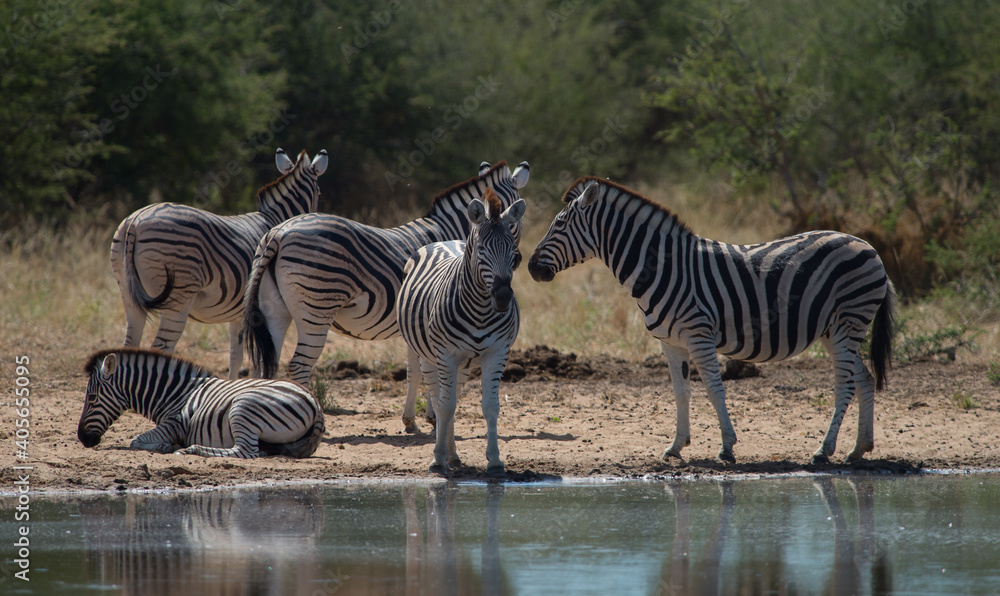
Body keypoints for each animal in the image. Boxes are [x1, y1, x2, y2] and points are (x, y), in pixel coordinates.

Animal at [78, 347, 325, 458]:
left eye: (92, 398)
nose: (82, 439)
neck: (173, 394)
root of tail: (315, 402)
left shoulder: (174, 424)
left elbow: (135, 440)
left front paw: (166, 446)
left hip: (243, 407)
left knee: (245, 451)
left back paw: (192, 449)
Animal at [110, 148, 328, 380]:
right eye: (319, 193)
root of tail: (136, 222)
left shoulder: (238, 315)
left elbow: (236, 357)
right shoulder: (257, 314)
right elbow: (258, 359)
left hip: (128, 293)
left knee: (129, 343)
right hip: (178, 296)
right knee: (161, 347)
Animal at [241, 160, 530, 399]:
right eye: (515, 219)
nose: (519, 261)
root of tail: (279, 232)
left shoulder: (417, 323)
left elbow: (416, 371)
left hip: (274, 310)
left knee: (266, 362)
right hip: (317, 305)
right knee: (299, 365)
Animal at [397, 188, 526, 475]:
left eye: (513, 251)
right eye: (481, 249)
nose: (502, 297)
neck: (480, 310)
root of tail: (444, 241)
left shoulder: (496, 353)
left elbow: (490, 406)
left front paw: (495, 460)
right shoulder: (446, 354)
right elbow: (444, 406)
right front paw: (437, 459)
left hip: (464, 365)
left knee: (453, 399)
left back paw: (454, 456)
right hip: (423, 352)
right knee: (435, 393)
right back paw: (444, 451)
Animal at [527, 178, 895, 464]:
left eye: (559, 224)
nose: (530, 268)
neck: (664, 268)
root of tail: (868, 246)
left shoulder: (699, 335)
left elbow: (714, 389)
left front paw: (727, 447)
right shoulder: (670, 343)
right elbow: (681, 392)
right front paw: (675, 446)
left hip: (849, 321)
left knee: (846, 383)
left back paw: (824, 450)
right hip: (834, 331)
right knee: (863, 379)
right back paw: (858, 449)